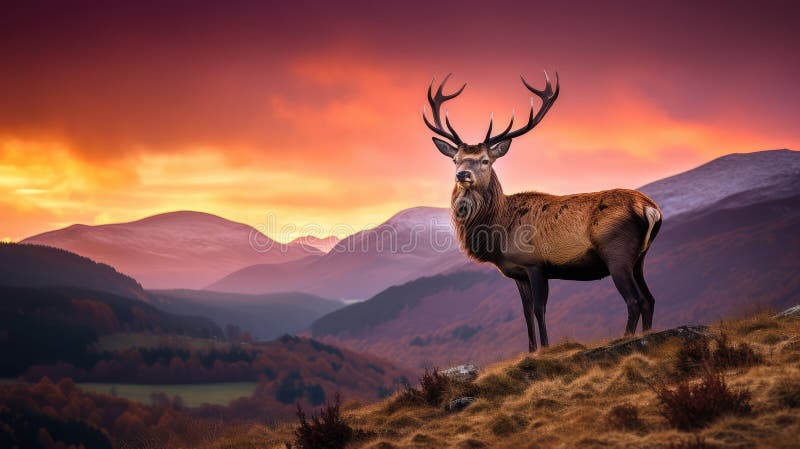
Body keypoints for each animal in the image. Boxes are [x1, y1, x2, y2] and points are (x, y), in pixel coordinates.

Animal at [422, 72, 662, 352]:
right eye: (455, 159)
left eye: (485, 160)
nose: (462, 174)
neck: (499, 229)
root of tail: (650, 209)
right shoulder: (517, 272)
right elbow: (525, 313)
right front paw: (531, 350)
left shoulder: (535, 263)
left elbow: (539, 309)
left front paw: (546, 348)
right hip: (639, 258)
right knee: (649, 299)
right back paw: (646, 335)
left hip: (617, 253)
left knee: (634, 300)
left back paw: (625, 338)